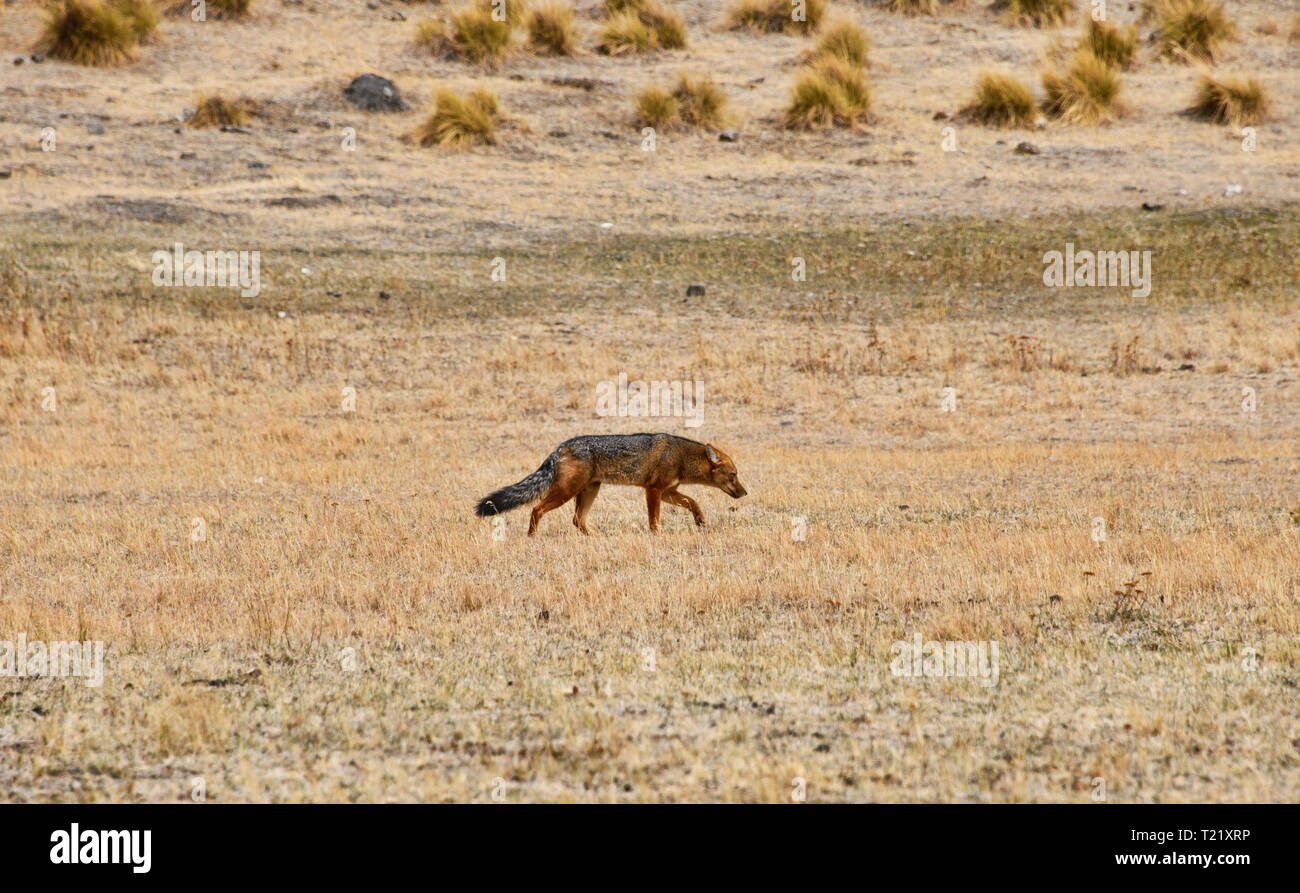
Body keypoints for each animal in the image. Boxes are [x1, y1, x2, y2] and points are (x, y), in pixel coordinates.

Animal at [474, 433, 747, 535]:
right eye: (734, 475)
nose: (745, 493)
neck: (680, 455)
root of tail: (562, 445)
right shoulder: (654, 490)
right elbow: (654, 519)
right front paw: (657, 535)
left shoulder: (669, 491)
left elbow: (693, 501)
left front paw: (700, 520)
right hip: (566, 492)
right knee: (536, 509)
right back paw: (532, 536)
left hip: (588, 491)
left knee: (577, 520)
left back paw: (595, 538)